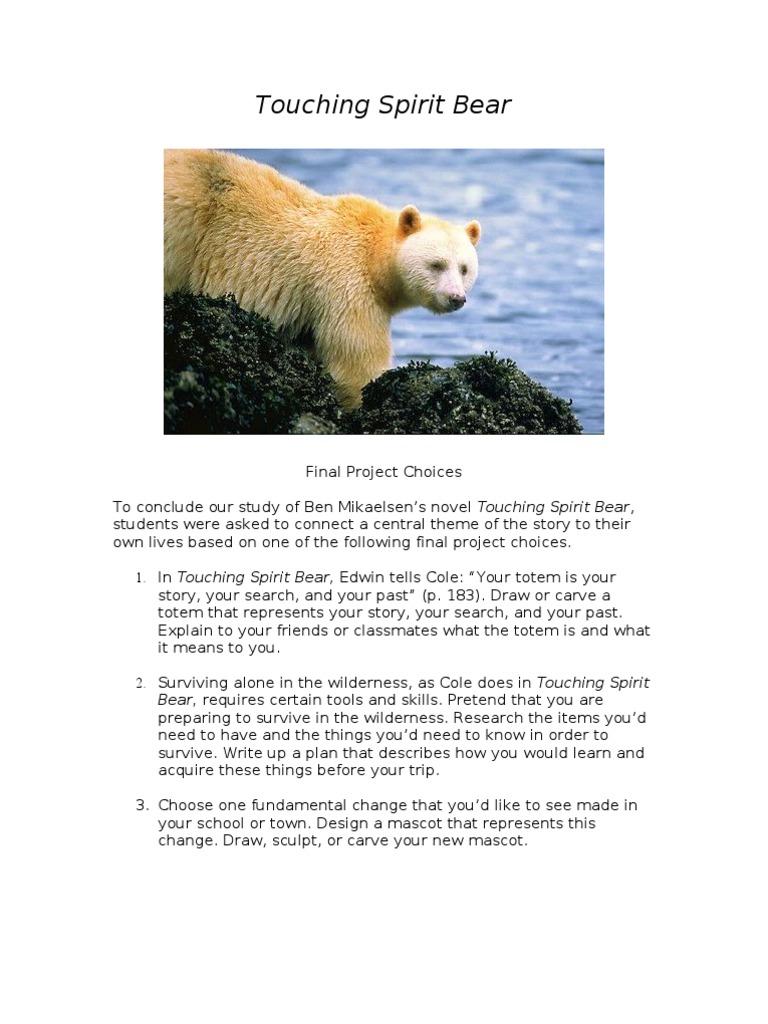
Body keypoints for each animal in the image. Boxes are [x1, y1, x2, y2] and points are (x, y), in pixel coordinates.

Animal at [164, 149, 481, 409]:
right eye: (437, 264)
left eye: (464, 268)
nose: (456, 298)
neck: (374, 255)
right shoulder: (347, 283)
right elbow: (356, 357)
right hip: (183, 223)